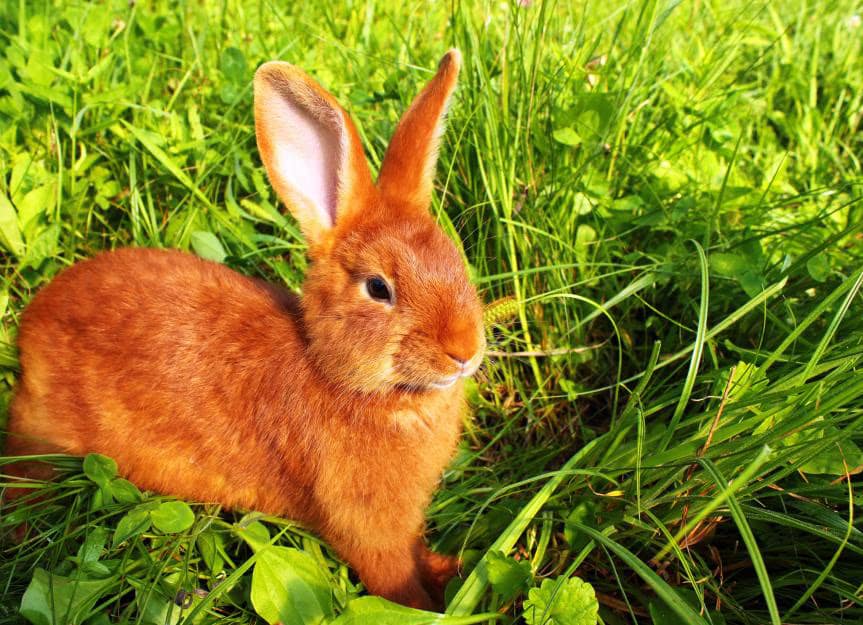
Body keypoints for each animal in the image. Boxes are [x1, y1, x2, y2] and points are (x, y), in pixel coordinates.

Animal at [3, 49, 485, 610]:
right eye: (377, 288)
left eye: (455, 258)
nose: (465, 350)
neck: (337, 376)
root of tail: (34, 321)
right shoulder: (366, 525)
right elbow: (392, 576)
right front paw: (429, 609)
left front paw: (450, 569)